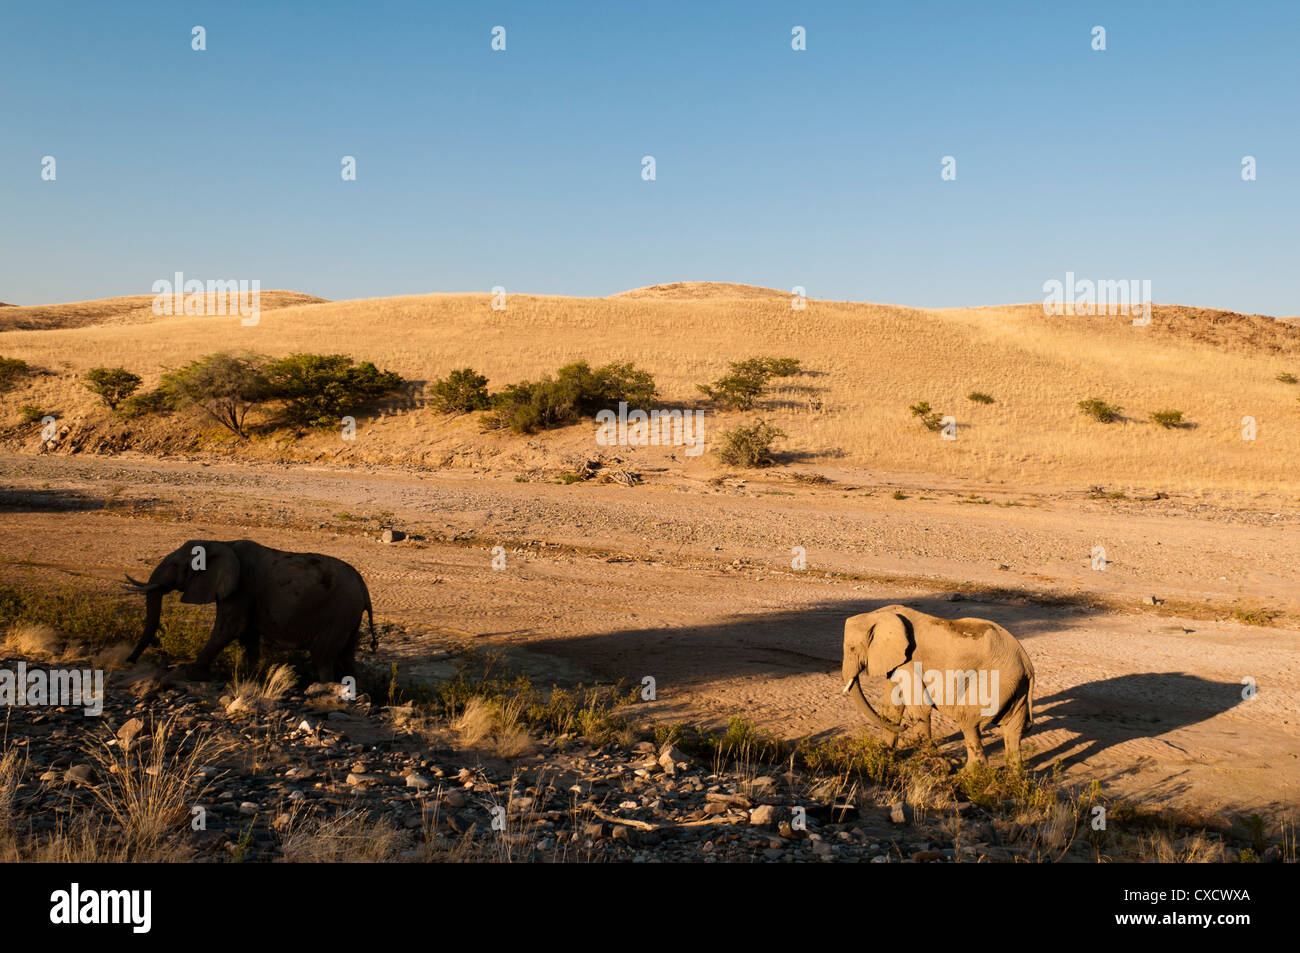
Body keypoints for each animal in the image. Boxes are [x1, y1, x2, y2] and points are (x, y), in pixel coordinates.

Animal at [123, 539, 375, 682]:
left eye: (176, 566)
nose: (129, 661)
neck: (222, 543)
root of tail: (362, 584)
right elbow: (247, 636)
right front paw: (251, 678)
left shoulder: (240, 587)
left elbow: (230, 629)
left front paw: (193, 675)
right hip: (349, 617)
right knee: (345, 656)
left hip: (339, 612)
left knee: (323, 656)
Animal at [840, 605, 1034, 769]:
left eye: (852, 648)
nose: (906, 726)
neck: (878, 614)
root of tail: (1027, 662)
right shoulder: (899, 661)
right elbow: (892, 704)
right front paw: (883, 753)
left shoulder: (910, 660)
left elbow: (919, 707)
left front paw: (936, 763)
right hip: (1016, 686)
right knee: (1012, 729)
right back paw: (1013, 778)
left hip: (997, 680)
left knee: (968, 720)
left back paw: (965, 775)